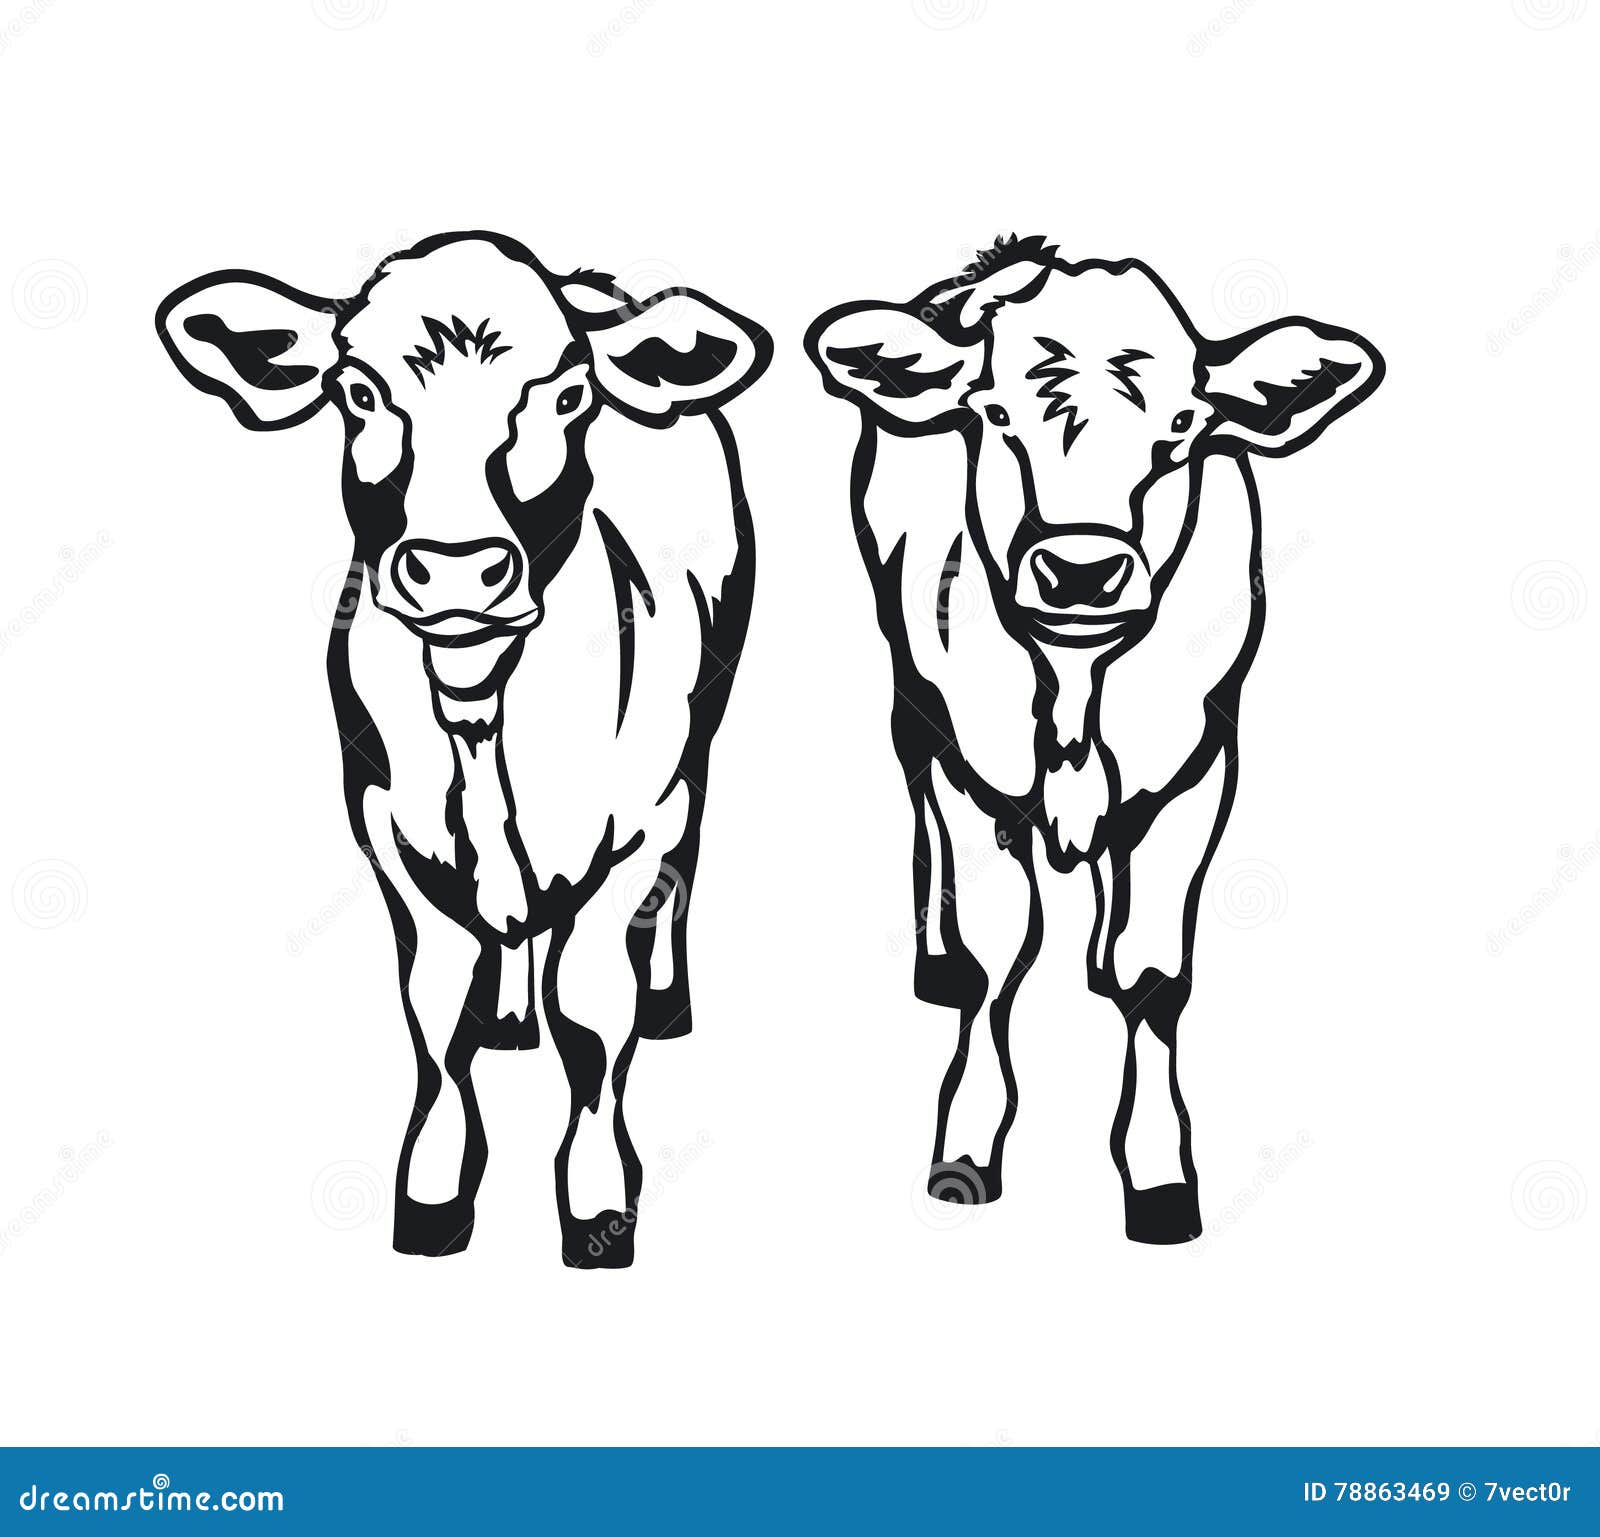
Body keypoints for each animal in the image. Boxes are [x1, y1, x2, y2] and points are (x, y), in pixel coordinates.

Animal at [157, 231, 770, 1265]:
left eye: (568, 396)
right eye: (358, 391)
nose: (453, 569)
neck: (479, 702)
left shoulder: (636, 827)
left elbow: (593, 1014)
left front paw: (597, 1195)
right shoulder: (384, 832)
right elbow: (435, 1014)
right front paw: (437, 1183)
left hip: (701, 733)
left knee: (679, 870)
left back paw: (662, 993)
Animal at [806, 236, 1382, 1243]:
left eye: (1183, 427)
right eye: (993, 414)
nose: (1081, 570)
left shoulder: (1196, 769)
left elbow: (1150, 972)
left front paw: (1158, 1171)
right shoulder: (971, 774)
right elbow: (997, 958)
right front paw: (967, 1143)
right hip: (911, 689)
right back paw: (934, 957)